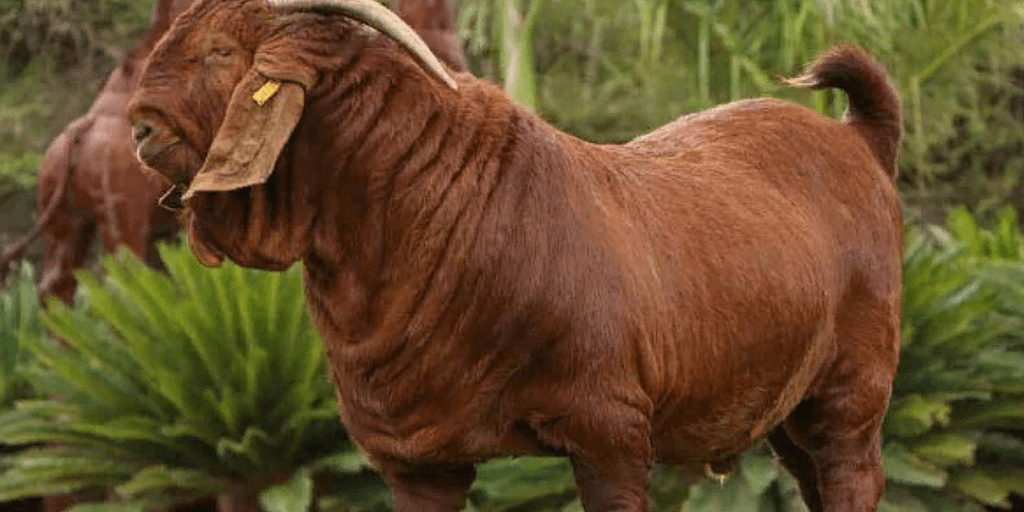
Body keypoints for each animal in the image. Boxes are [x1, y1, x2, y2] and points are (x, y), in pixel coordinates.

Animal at [128, 1, 904, 510]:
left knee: (853, 473)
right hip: (790, 406)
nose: (138, 125)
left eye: (221, 52)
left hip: (855, 382)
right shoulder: (416, 461)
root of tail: (860, 139)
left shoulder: (611, 431)